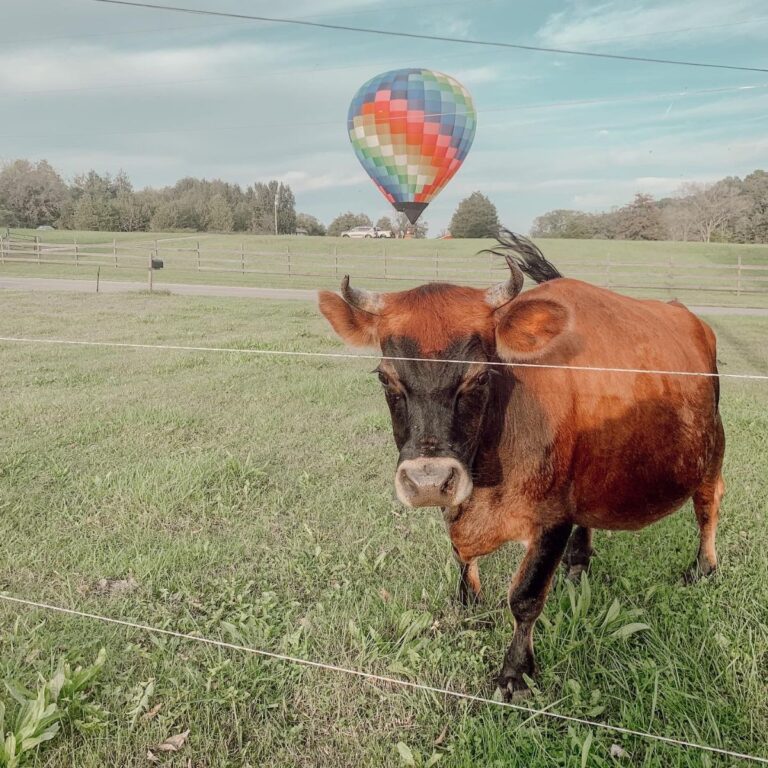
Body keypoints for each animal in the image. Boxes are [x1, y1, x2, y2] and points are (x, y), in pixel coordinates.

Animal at [317, 230, 725, 699]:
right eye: (386, 377)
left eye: (478, 376)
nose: (428, 481)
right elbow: (461, 558)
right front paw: (468, 599)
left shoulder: (552, 518)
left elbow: (525, 599)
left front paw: (515, 672)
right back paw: (578, 563)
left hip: (711, 452)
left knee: (708, 508)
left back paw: (703, 567)